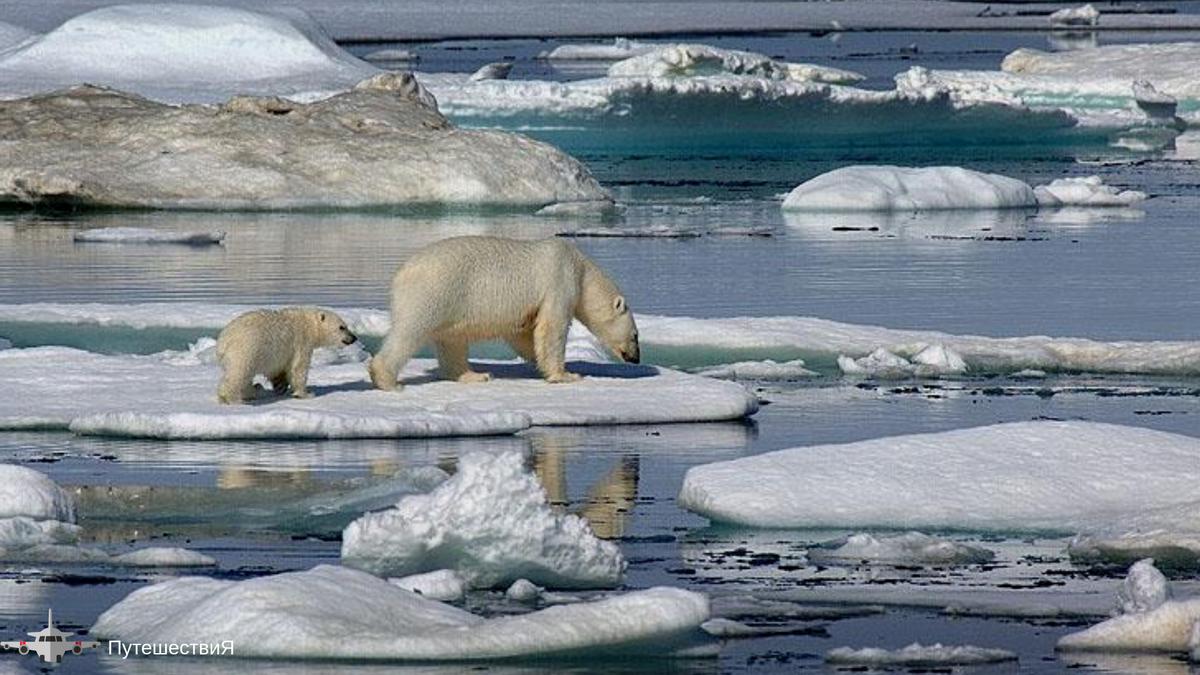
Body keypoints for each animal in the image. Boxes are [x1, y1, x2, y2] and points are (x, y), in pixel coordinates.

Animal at [369, 234, 643, 389]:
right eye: (635, 336)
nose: (636, 358)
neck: (582, 269)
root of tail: (401, 275)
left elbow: (522, 332)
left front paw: (536, 359)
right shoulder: (559, 281)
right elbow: (552, 328)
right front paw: (567, 375)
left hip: (451, 303)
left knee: (452, 340)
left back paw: (475, 375)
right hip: (433, 292)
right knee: (410, 332)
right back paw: (388, 381)